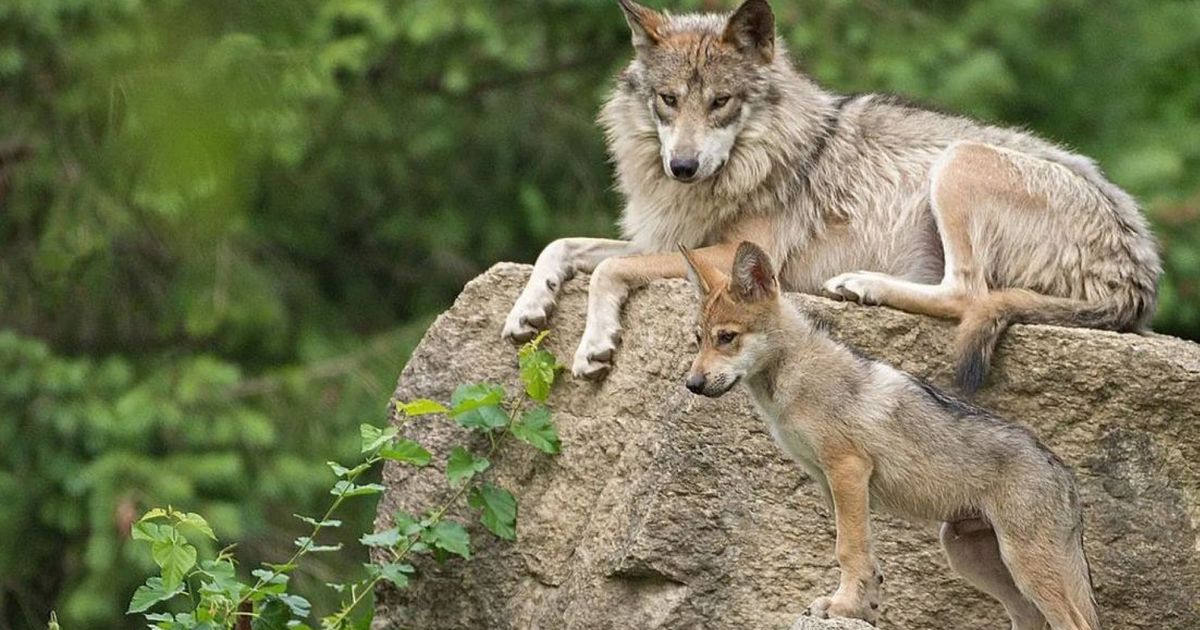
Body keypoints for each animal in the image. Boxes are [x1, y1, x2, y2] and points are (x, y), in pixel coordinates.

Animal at [501, 0, 1160, 392]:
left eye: (720, 102)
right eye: (668, 100)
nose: (682, 166)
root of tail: (1139, 275)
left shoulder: (732, 256)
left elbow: (608, 268)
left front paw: (594, 344)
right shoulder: (666, 239)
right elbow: (563, 245)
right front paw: (527, 308)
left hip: (957, 163)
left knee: (967, 293)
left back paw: (861, 286)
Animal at [683, 240, 1100, 630]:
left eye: (727, 337)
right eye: (699, 339)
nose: (692, 384)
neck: (793, 375)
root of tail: (1064, 474)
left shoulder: (847, 471)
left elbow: (848, 550)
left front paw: (842, 607)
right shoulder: (830, 482)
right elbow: (866, 557)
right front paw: (861, 609)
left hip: (1023, 566)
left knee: (1072, 622)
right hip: (970, 555)